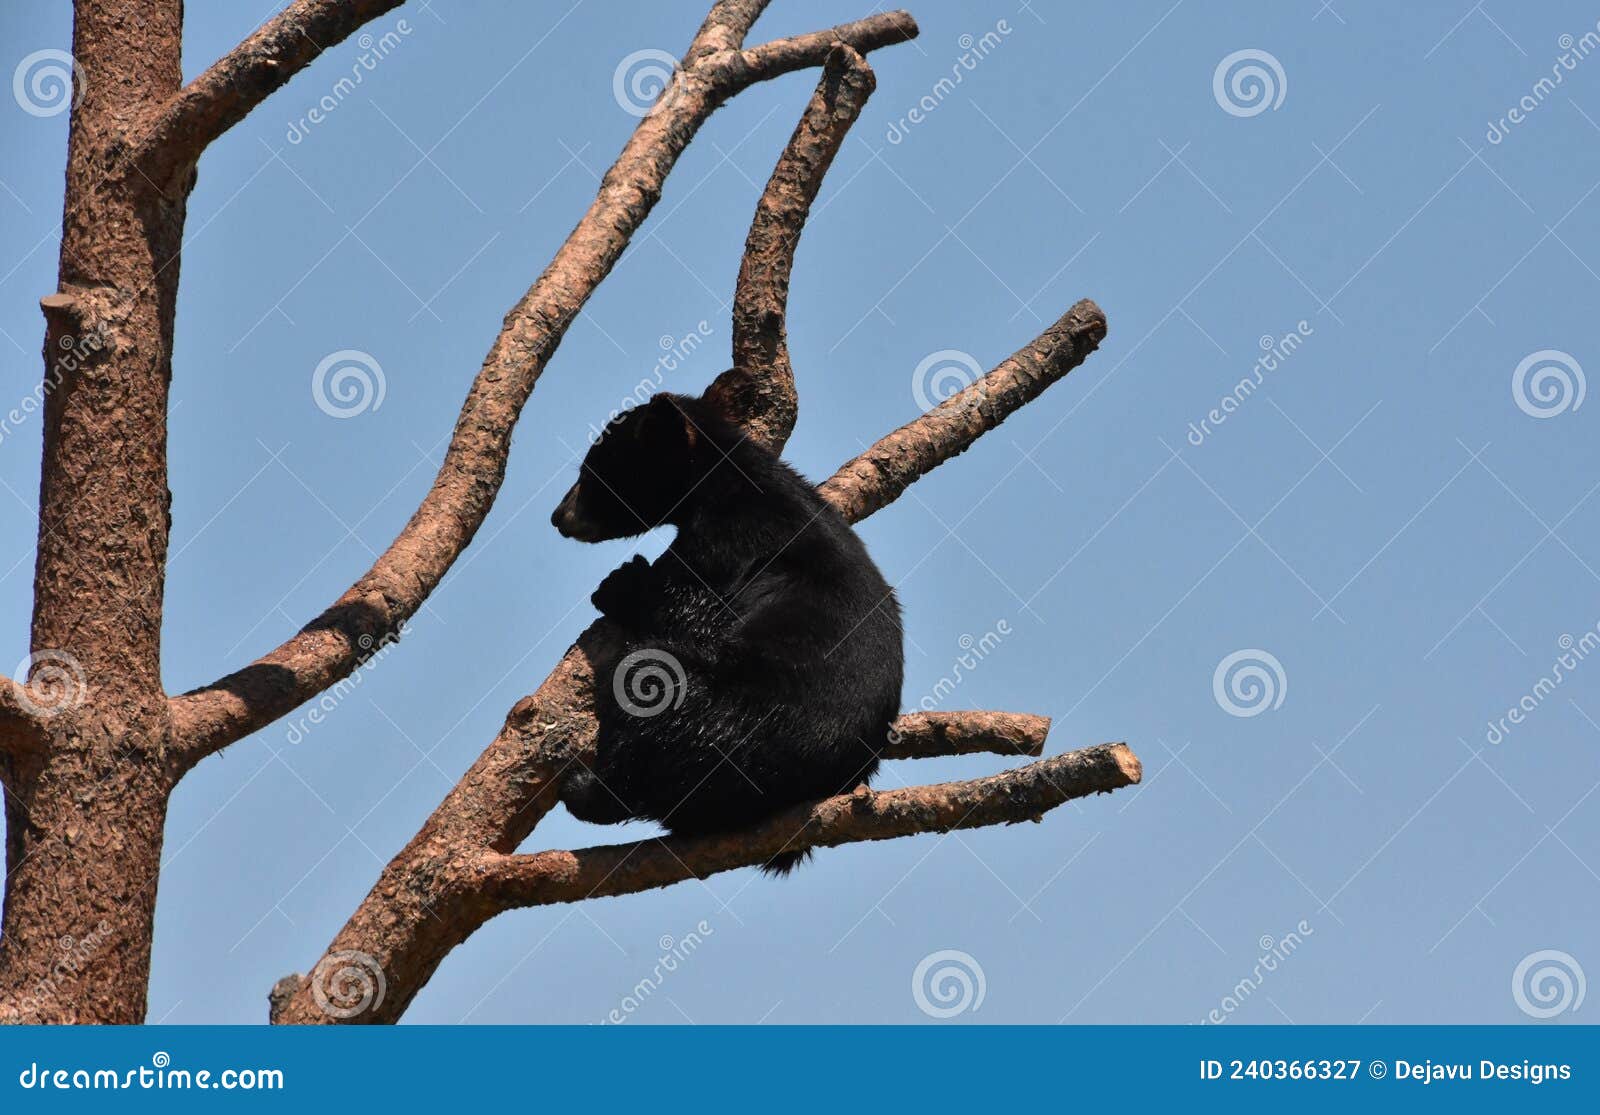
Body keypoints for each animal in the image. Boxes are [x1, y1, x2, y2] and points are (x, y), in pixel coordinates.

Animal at [551, 390, 904, 873]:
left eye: (594, 474)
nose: (557, 516)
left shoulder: (732, 540)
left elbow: (698, 609)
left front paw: (624, 584)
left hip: (727, 717)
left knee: (654, 695)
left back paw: (583, 786)